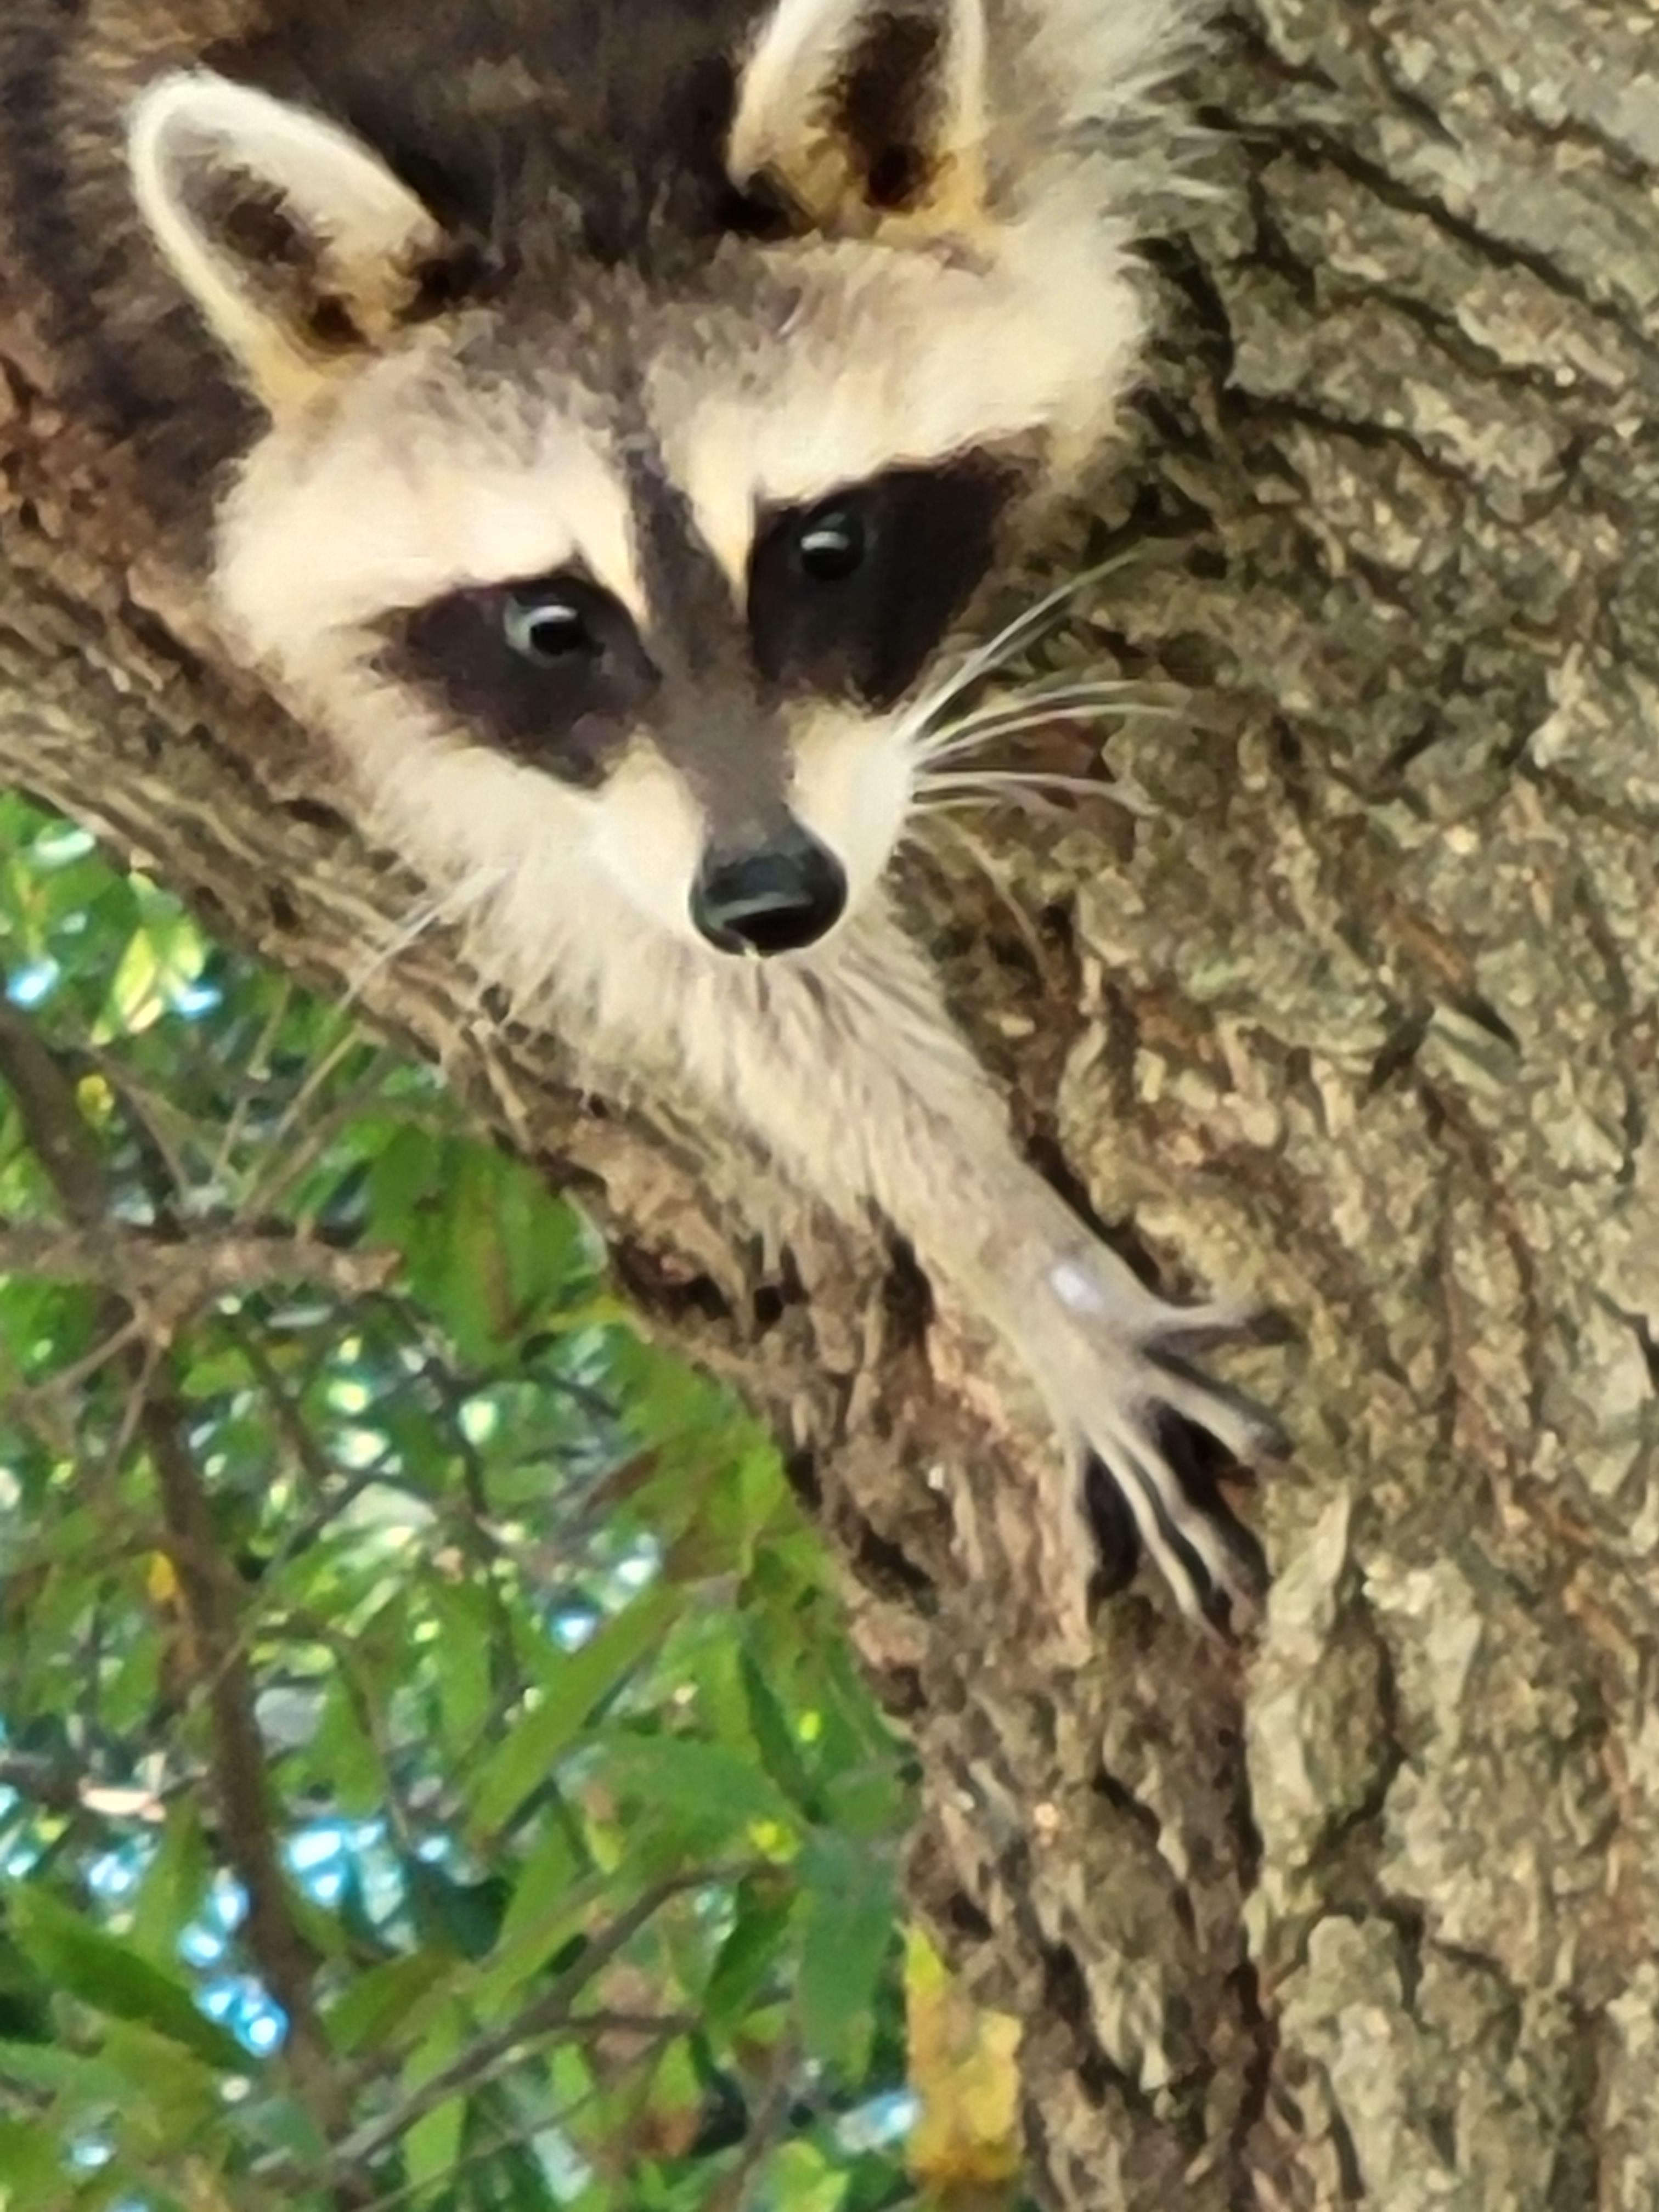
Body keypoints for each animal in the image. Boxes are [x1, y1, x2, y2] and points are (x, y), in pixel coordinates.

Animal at [0, 0, 1282, 1623]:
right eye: (555, 625)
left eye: (825, 548)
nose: (773, 894)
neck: (535, 80)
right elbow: (638, 925)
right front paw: (998, 1234)